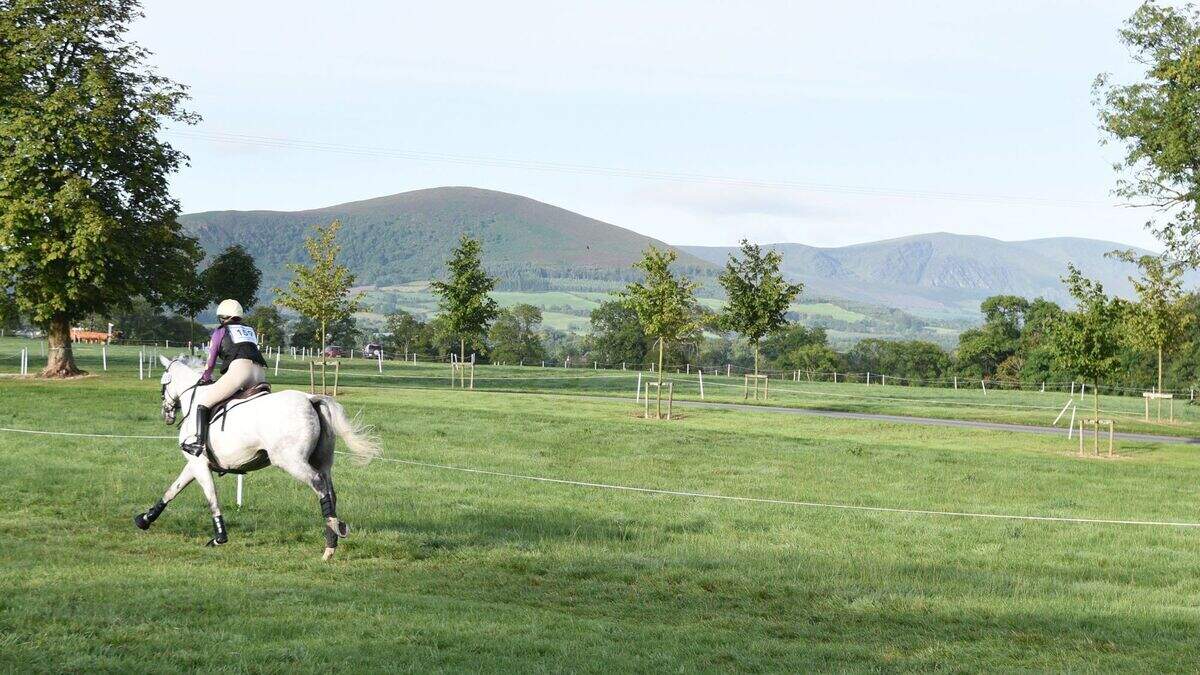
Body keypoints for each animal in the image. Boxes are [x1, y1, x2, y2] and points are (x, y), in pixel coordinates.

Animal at [135, 355, 380, 560]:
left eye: (163, 383)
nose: (166, 414)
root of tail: (311, 399)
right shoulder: (195, 464)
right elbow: (172, 490)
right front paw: (145, 519)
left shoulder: (198, 463)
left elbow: (211, 496)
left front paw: (219, 538)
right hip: (323, 461)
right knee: (330, 492)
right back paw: (332, 540)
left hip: (290, 461)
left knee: (318, 484)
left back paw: (331, 539)